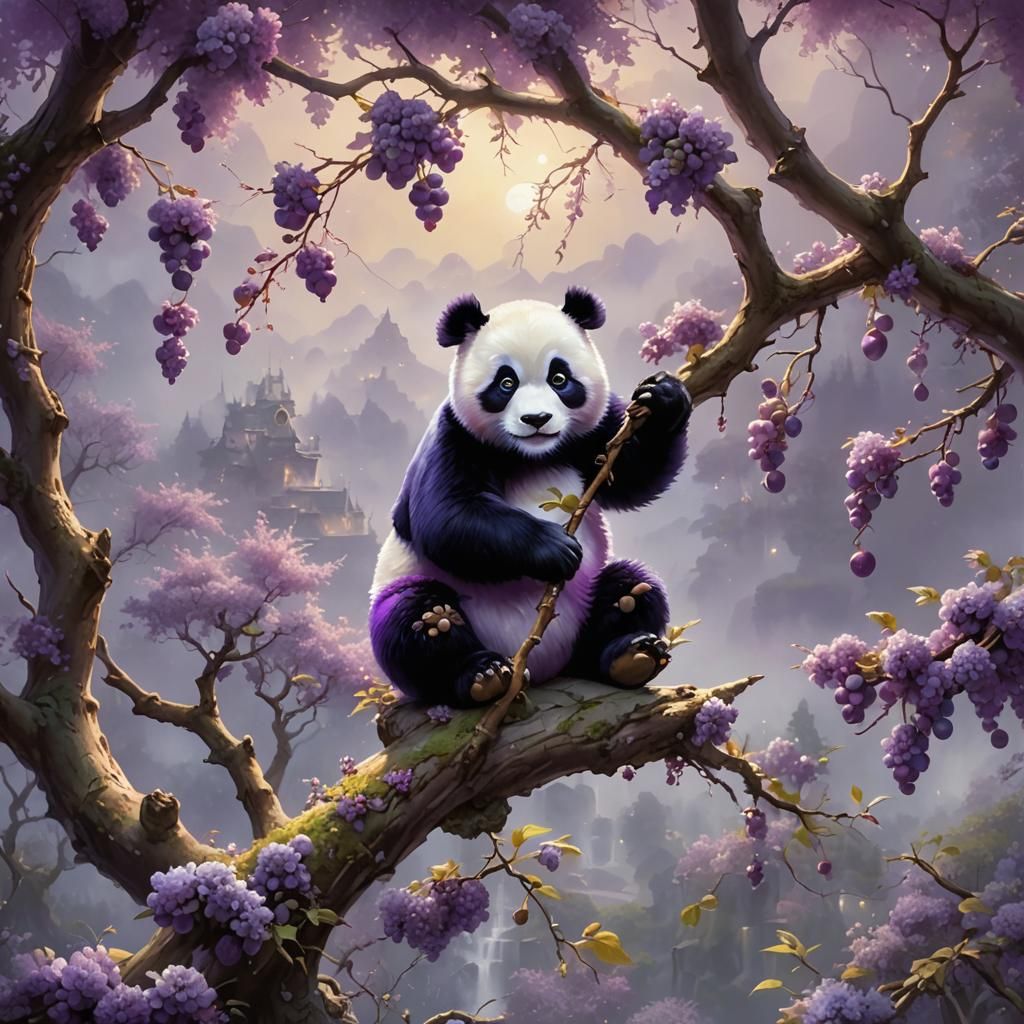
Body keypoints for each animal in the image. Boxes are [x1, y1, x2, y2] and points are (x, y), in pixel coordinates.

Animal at [369, 287, 691, 707]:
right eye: (506, 383)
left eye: (559, 378)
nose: (536, 420)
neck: (531, 456)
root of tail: (540, 670)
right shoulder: (453, 437)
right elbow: (447, 517)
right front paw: (555, 549)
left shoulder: (597, 432)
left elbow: (633, 475)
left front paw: (665, 397)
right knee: (410, 620)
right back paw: (476, 668)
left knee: (636, 585)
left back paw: (629, 650)